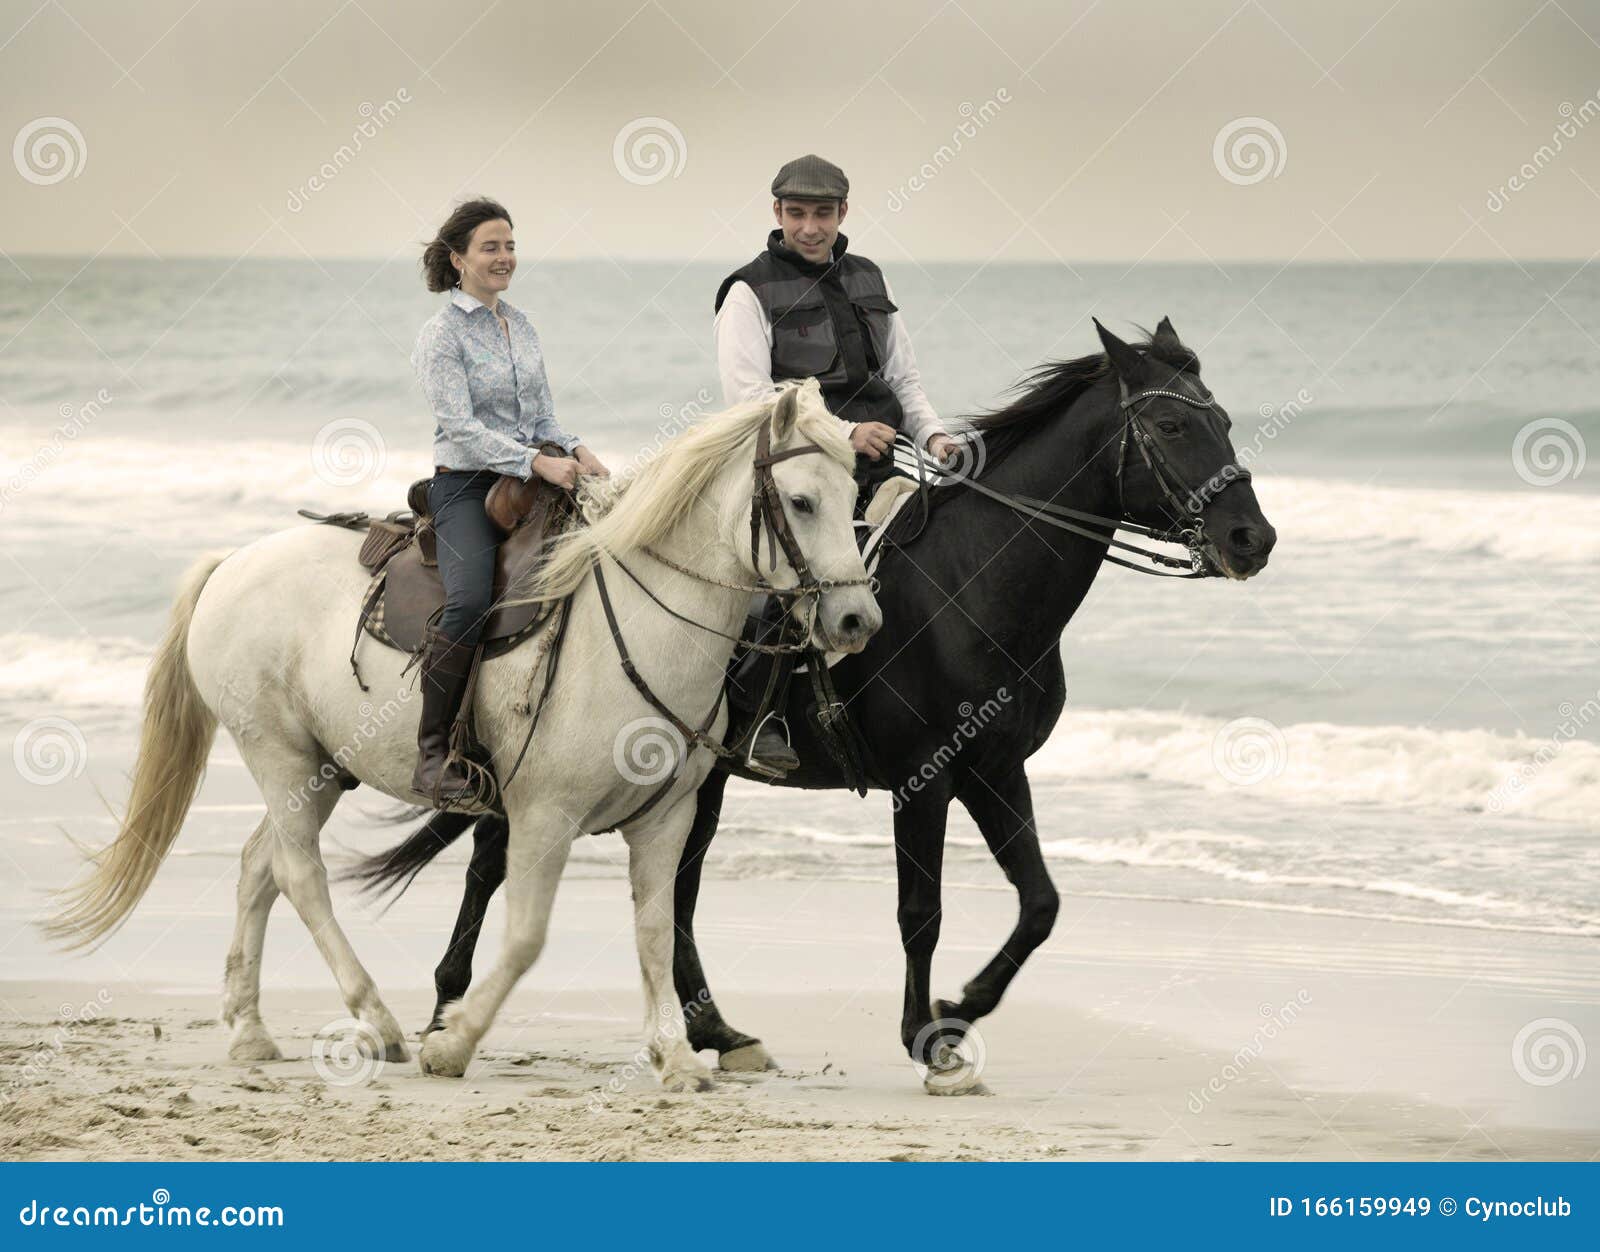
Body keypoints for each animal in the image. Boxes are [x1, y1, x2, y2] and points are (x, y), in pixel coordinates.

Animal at [43, 380, 881, 1093]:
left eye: (854, 498)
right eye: (801, 501)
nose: (856, 620)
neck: (640, 626)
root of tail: (230, 565)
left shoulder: (664, 820)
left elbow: (652, 930)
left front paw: (674, 1058)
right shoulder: (543, 819)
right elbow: (527, 939)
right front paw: (452, 1043)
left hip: (321, 768)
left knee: (258, 867)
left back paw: (250, 1030)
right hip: (278, 756)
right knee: (300, 875)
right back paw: (377, 1021)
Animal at [350, 317, 1278, 1092]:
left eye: (1225, 421)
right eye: (1173, 428)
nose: (1251, 539)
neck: (973, 585)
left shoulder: (995, 769)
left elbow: (1041, 903)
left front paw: (962, 1007)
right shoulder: (927, 780)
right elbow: (920, 911)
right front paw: (930, 1037)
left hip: (699, 785)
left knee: (669, 899)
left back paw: (716, 1035)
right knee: (493, 864)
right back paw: (449, 1009)